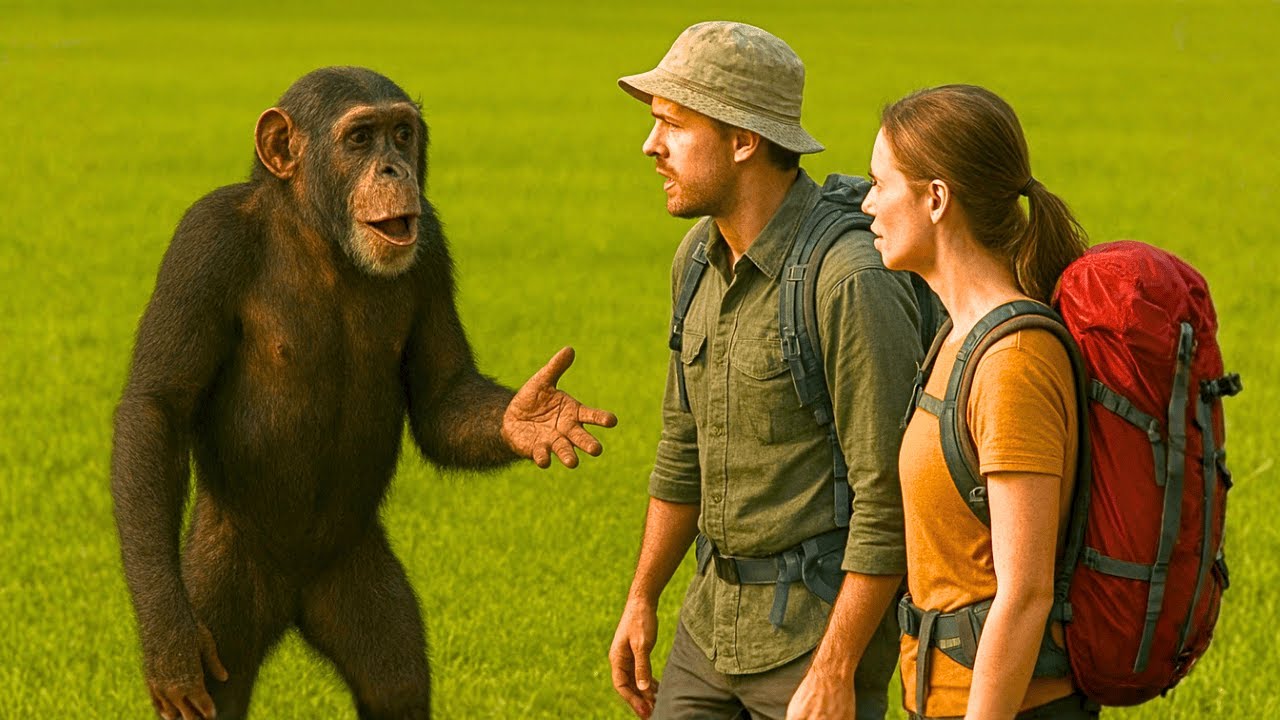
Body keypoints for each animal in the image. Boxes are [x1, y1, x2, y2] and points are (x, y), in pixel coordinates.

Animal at [111, 66, 617, 720]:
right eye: (359, 139)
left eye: (401, 134)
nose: (394, 169)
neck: (316, 233)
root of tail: (293, 594)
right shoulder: (204, 242)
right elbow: (158, 408)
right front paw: (169, 647)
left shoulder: (431, 248)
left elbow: (440, 398)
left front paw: (536, 417)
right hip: (221, 580)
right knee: (219, 687)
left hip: (356, 575)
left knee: (393, 680)